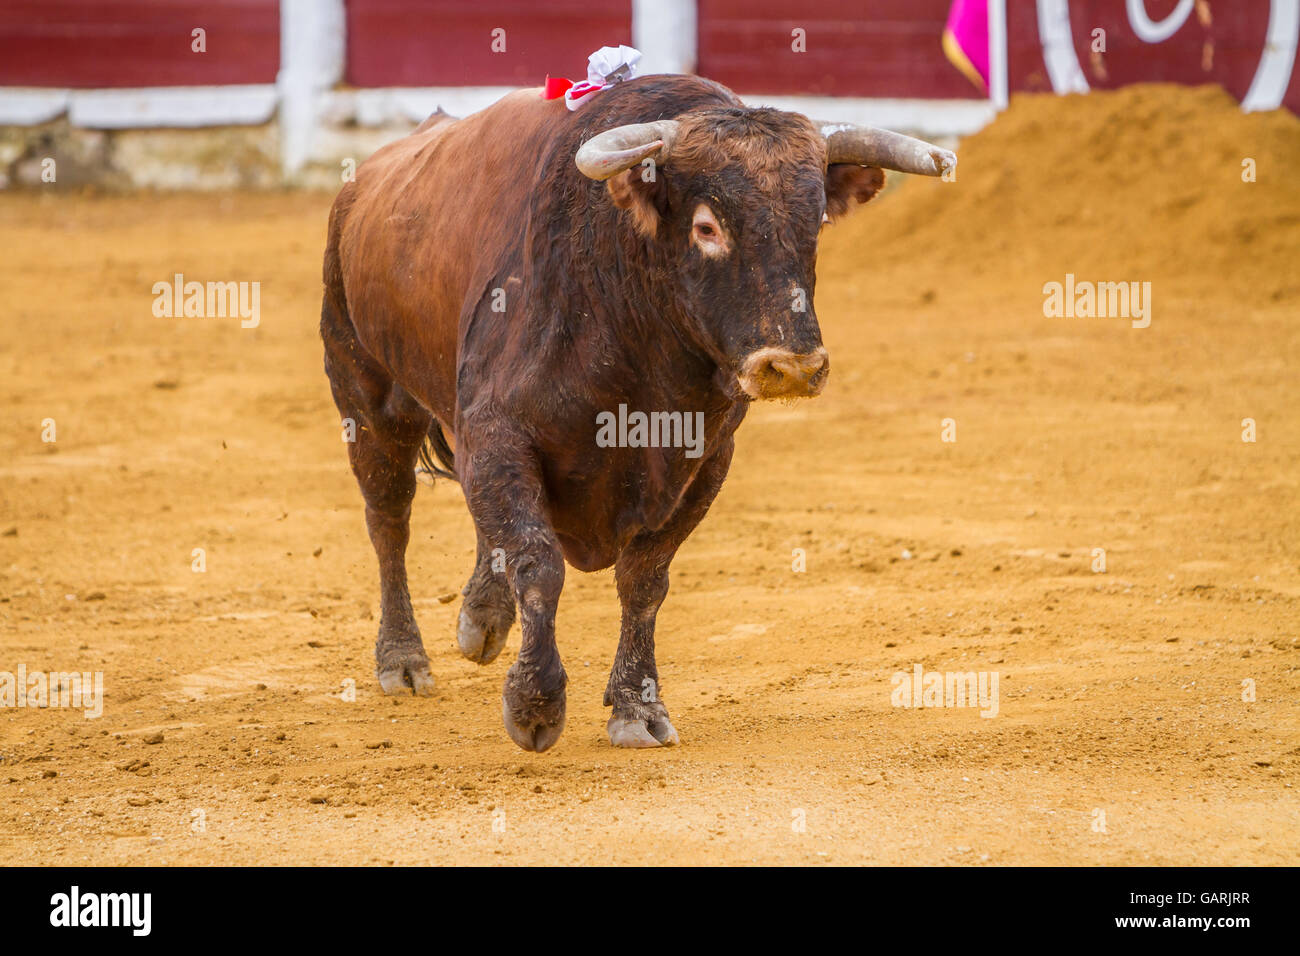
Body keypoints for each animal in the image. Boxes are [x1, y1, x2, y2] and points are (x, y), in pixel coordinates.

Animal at [321, 73, 955, 752]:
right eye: (706, 227)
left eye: (814, 224)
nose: (791, 367)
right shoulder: (496, 433)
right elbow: (538, 561)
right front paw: (535, 705)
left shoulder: (704, 460)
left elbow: (645, 578)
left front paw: (636, 705)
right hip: (366, 395)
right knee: (389, 520)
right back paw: (402, 660)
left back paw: (482, 617)